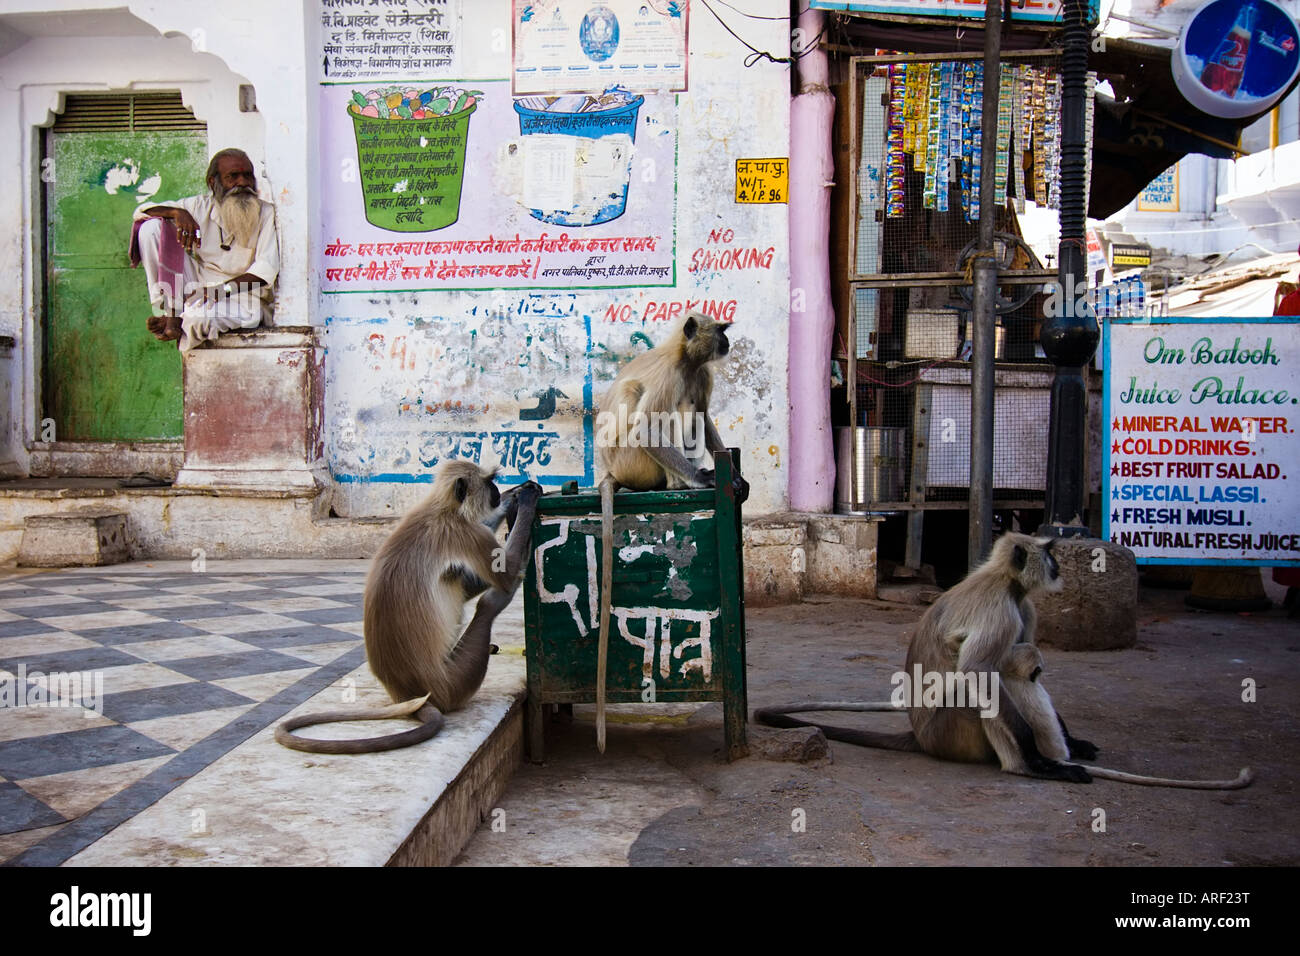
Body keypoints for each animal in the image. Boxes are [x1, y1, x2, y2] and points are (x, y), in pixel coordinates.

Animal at [276, 460, 542, 754]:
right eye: (488, 482)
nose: (496, 492)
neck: (441, 509)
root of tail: (409, 694)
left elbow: (464, 585)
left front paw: (512, 497)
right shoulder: (466, 533)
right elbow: (504, 574)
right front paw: (525, 501)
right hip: (455, 682)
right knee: (488, 607)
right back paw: (497, 601)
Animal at [592, 311, 748, 752]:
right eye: (721, 331)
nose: (728, 342)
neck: (685, 359)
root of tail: (609, 471)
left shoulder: (700, 374)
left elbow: (706, 418)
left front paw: (733, 476)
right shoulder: (670, 375)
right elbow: (647, 428)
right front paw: (701, 480)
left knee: (691, 409)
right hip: (632, 460)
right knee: (651, 408)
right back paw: (678, 481)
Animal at [756, 533, 1254, 790]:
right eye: (1048, 551)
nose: (1056, 563)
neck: (1006, 582)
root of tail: (919, 734)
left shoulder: (1025, 606)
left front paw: (1076, 739)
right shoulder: (1002, 609)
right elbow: (978, 673)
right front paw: (1035, 754)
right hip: (951, 731)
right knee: (1000, 676)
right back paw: (1030, 765)